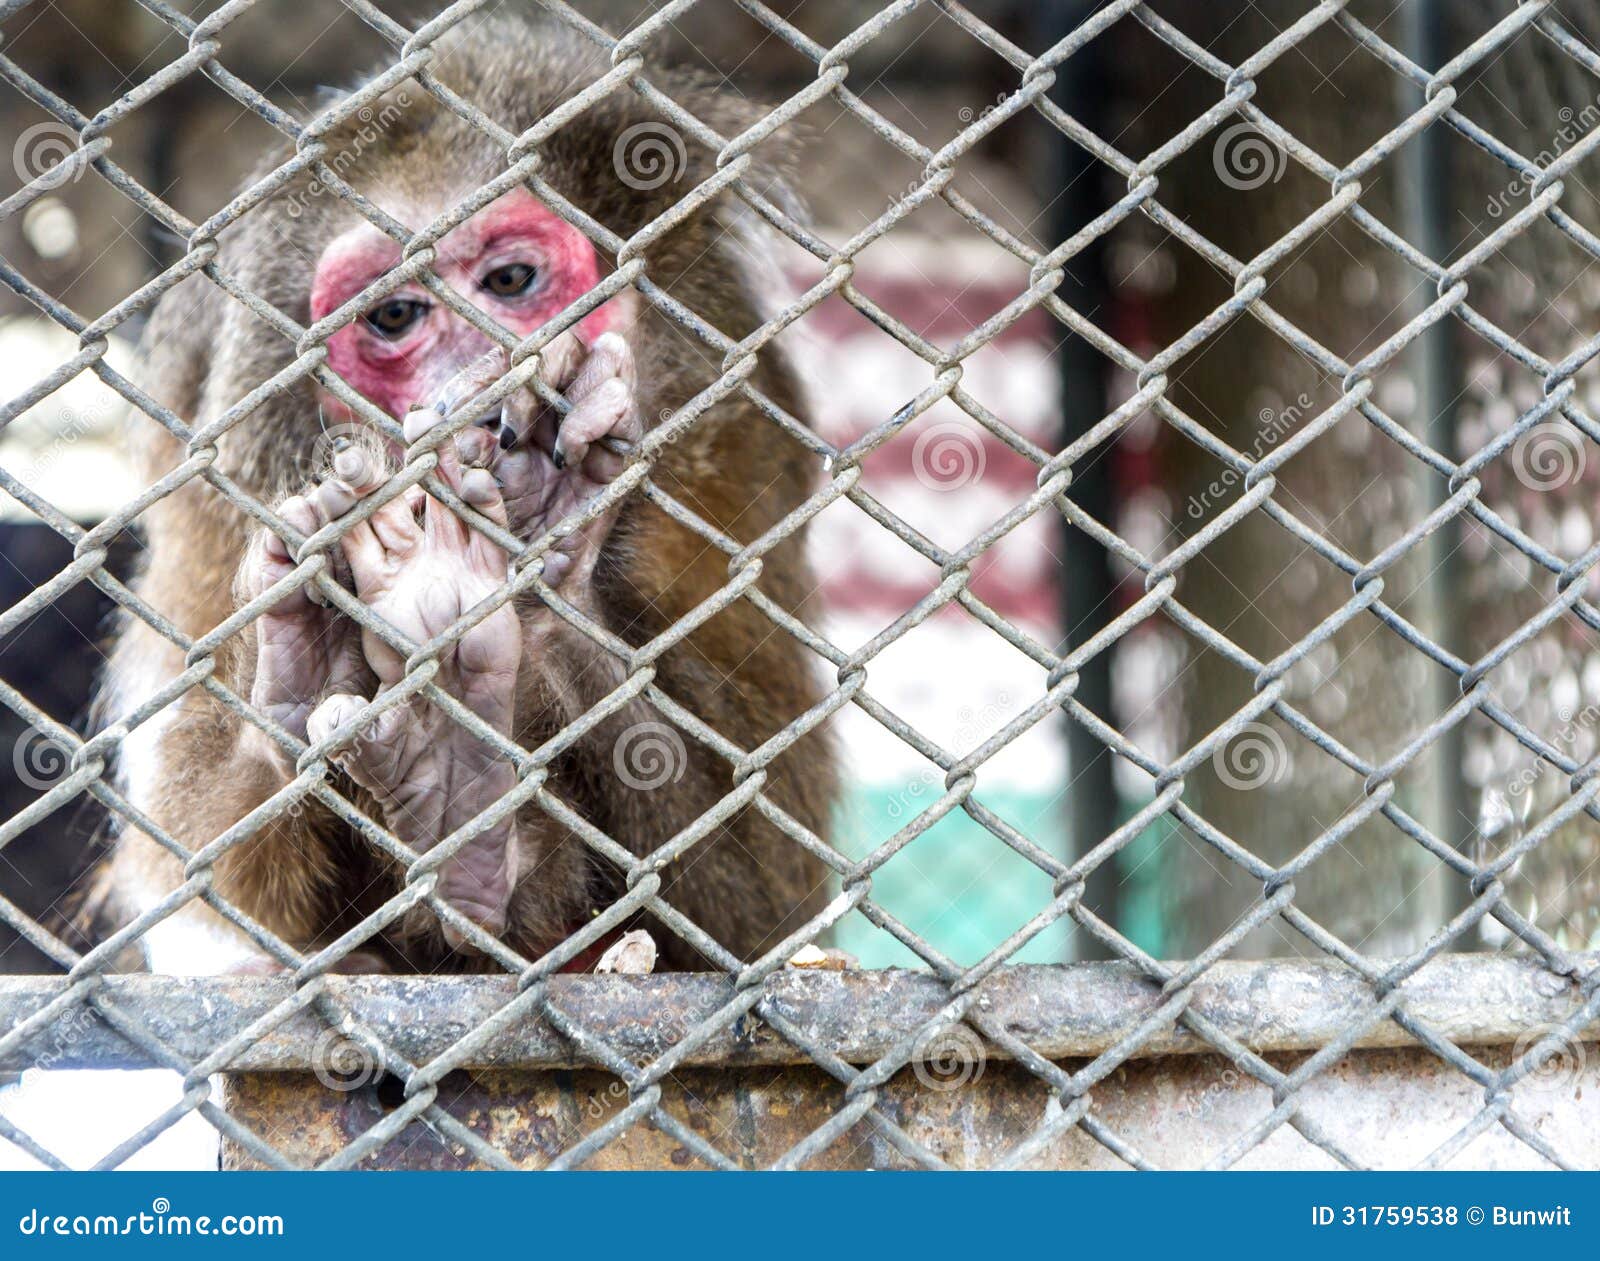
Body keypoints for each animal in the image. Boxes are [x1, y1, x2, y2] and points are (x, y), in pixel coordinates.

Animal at [90, 13, 836, 974]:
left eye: (510, 282)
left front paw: (556, 553)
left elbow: (764, 912)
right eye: (395, 318)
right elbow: (208, 899)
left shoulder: (740, 453)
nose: (474, 398)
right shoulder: (219, 507)